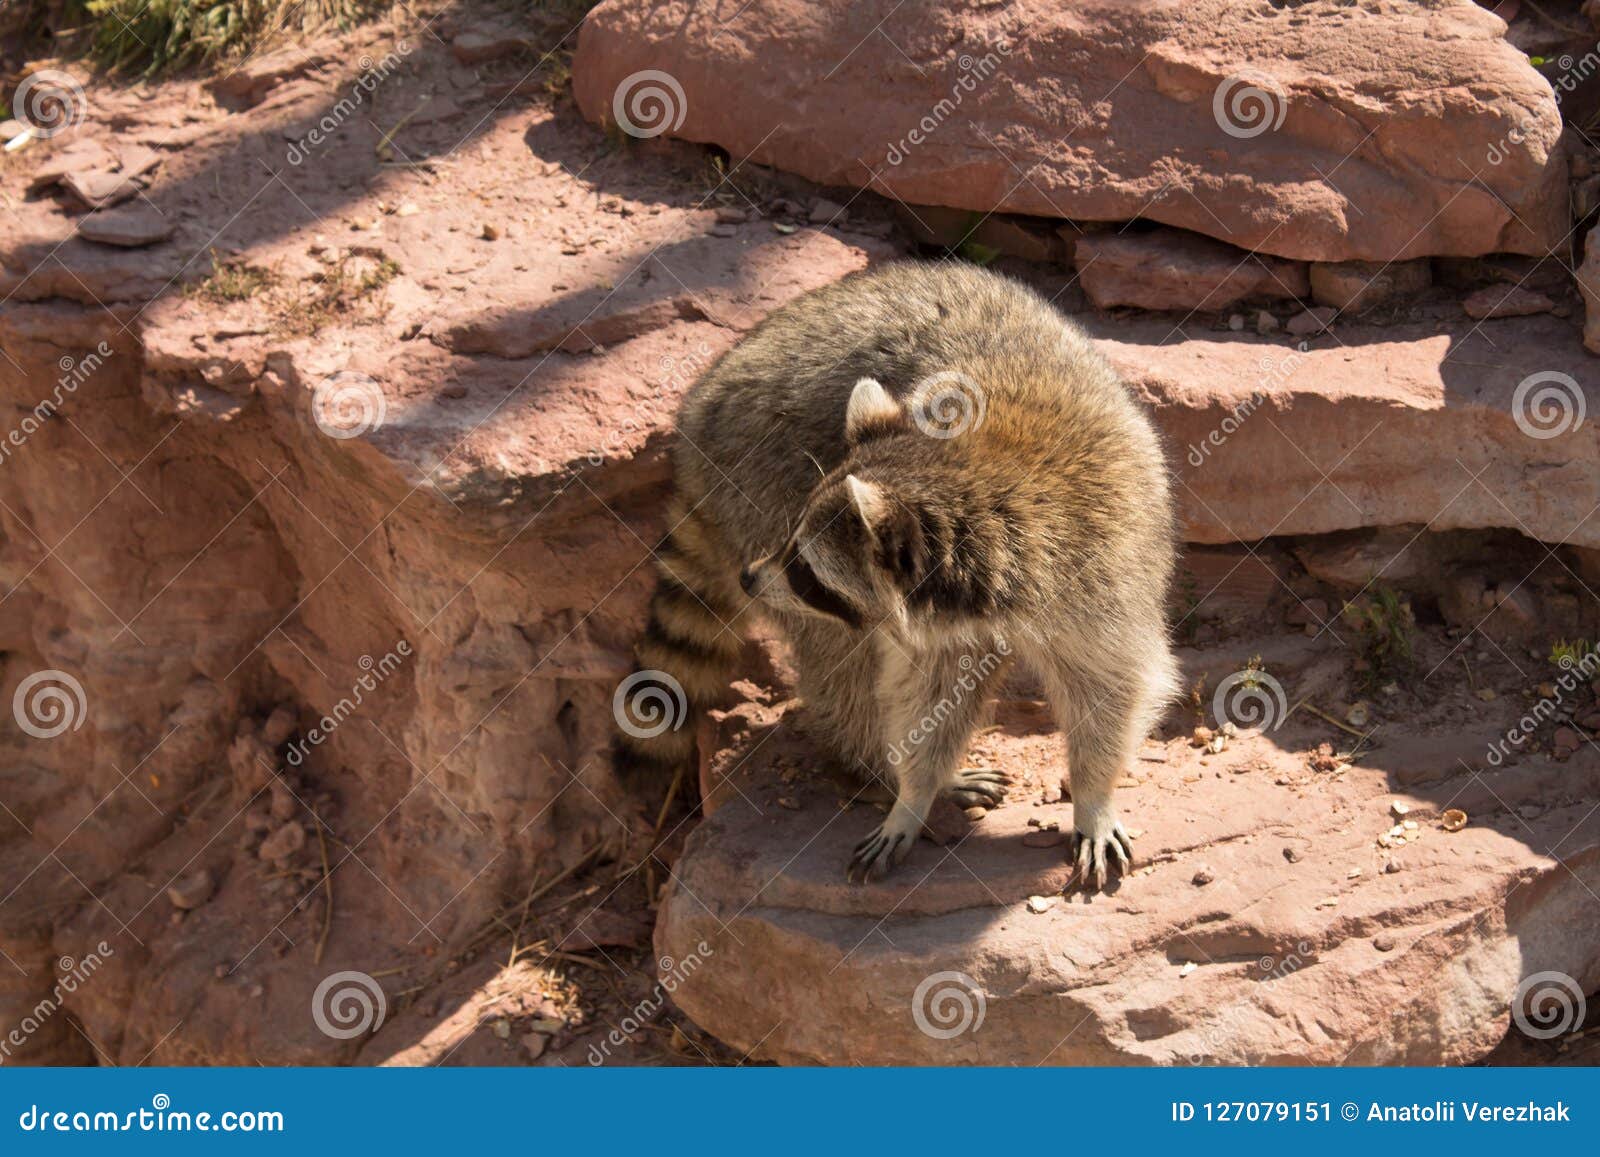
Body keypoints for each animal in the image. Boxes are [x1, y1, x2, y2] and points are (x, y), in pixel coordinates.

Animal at [618, 261, 1178, 890]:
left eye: (805, 569)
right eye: (792, 544)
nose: (751, 577)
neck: (984, 474)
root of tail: (696, 420)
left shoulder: (1104, 569)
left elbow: (1112, 684)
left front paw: (1092, 794)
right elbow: (926, 692)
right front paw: (912, 789)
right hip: (756, 468)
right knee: (844, 663)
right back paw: (874, 760)